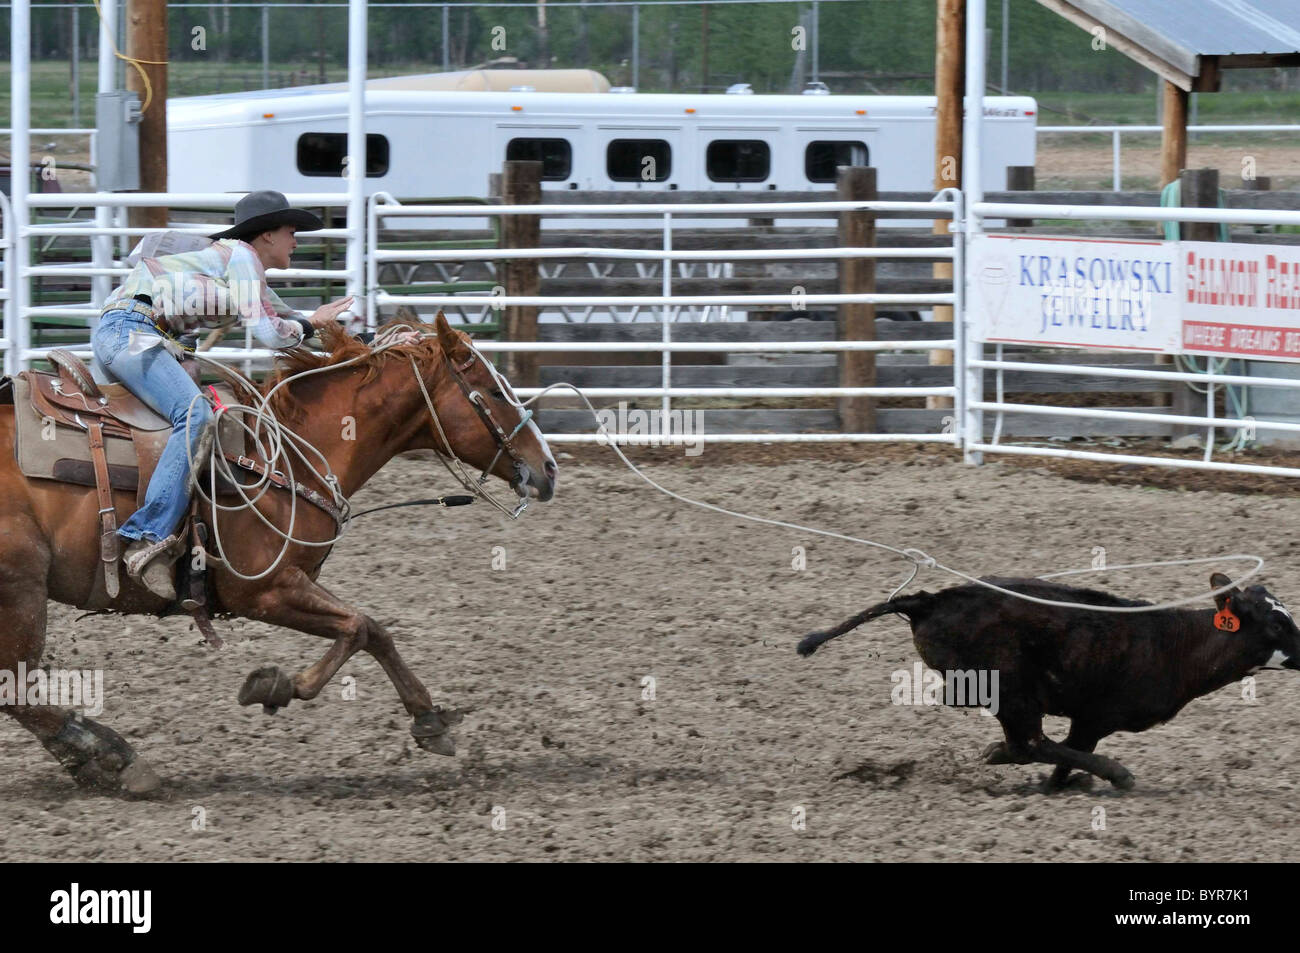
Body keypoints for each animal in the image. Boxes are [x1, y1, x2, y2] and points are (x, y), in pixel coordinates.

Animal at [797, 573, 1300, 791]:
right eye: (1277, 624)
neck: (1177, 644)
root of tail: (932, 600)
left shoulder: (1088, 721)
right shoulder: (1094, 718)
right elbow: (1066, 754)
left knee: (1023, 744)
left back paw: (997, 753)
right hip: (1008, 687)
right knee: (1031, 742)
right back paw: (1114, 772)